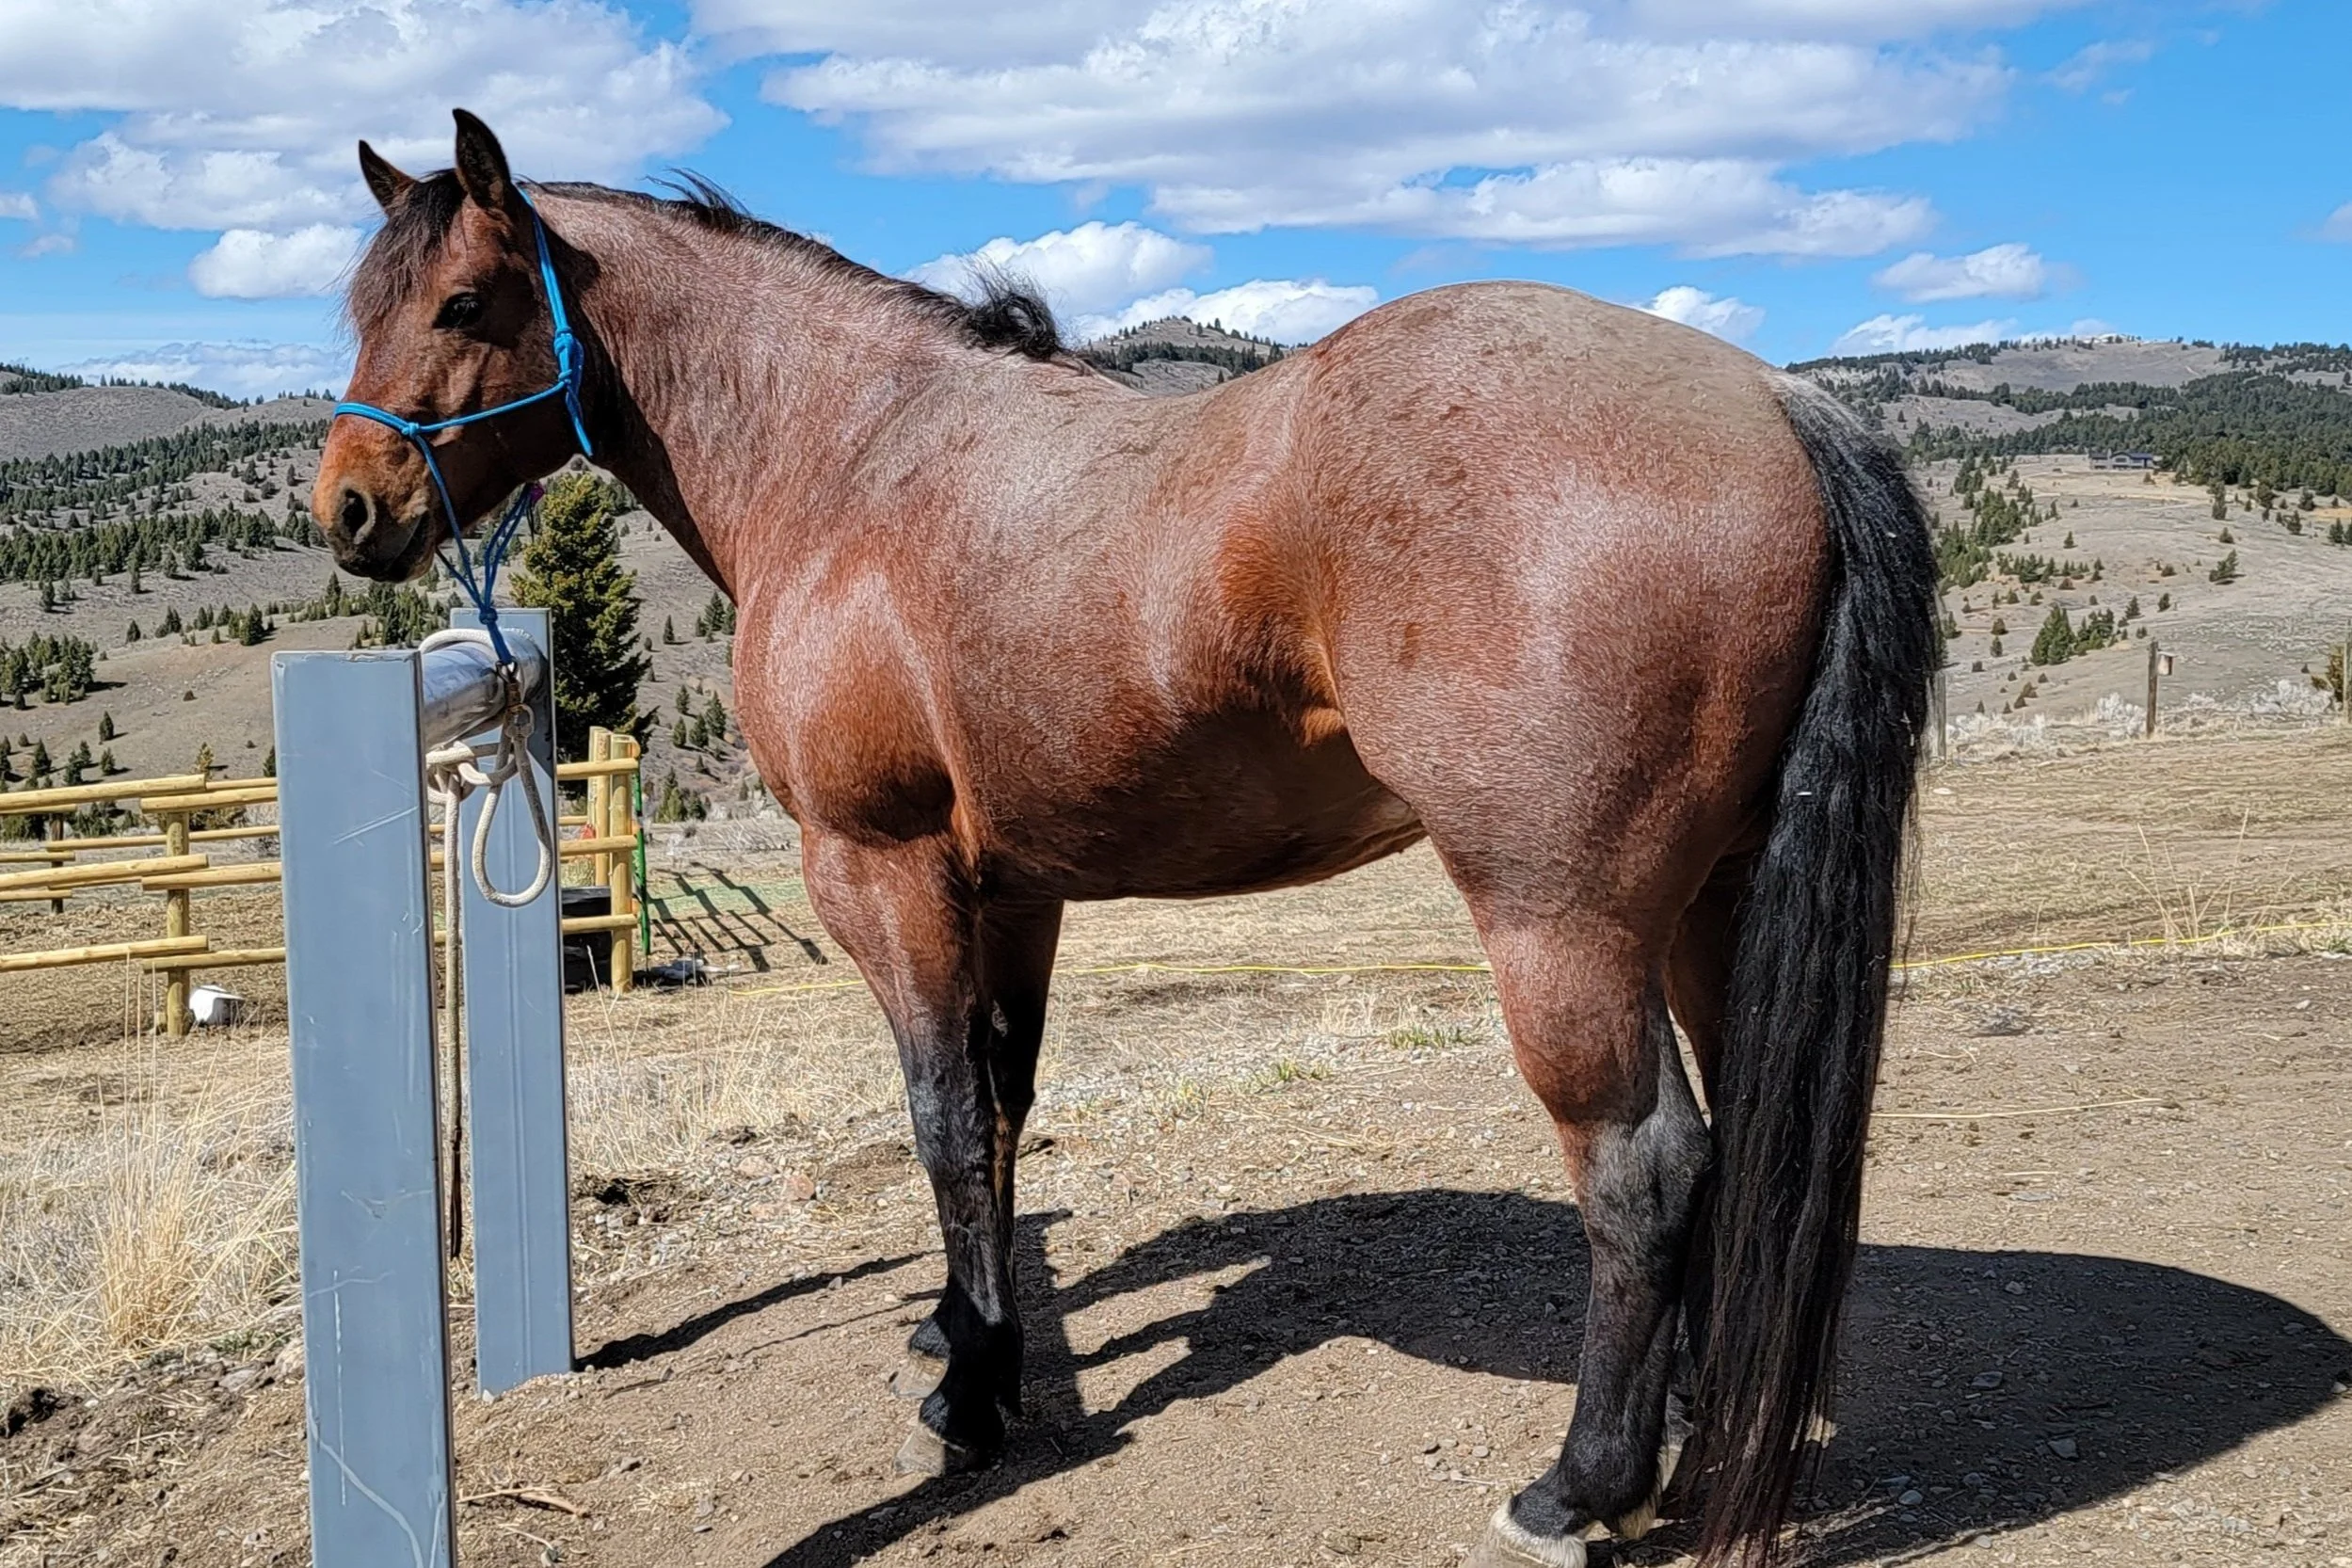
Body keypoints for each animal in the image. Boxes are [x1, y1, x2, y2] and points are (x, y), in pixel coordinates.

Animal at [316, 111, 1938, 1568]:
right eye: (360, 306)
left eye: (465, 302)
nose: (349, 506)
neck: (849, 460)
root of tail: (1772, 404)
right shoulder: (1010, 892)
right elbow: (1001, 1111)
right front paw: (965, 1333)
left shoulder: (882, 869)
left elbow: (941, 1120)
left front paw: (973, 1400)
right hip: (1711, 898)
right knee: (1730, 1148)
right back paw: (1687, 1435)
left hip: (1559, 918)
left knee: (1645, 1165)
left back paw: (1578, 1488)